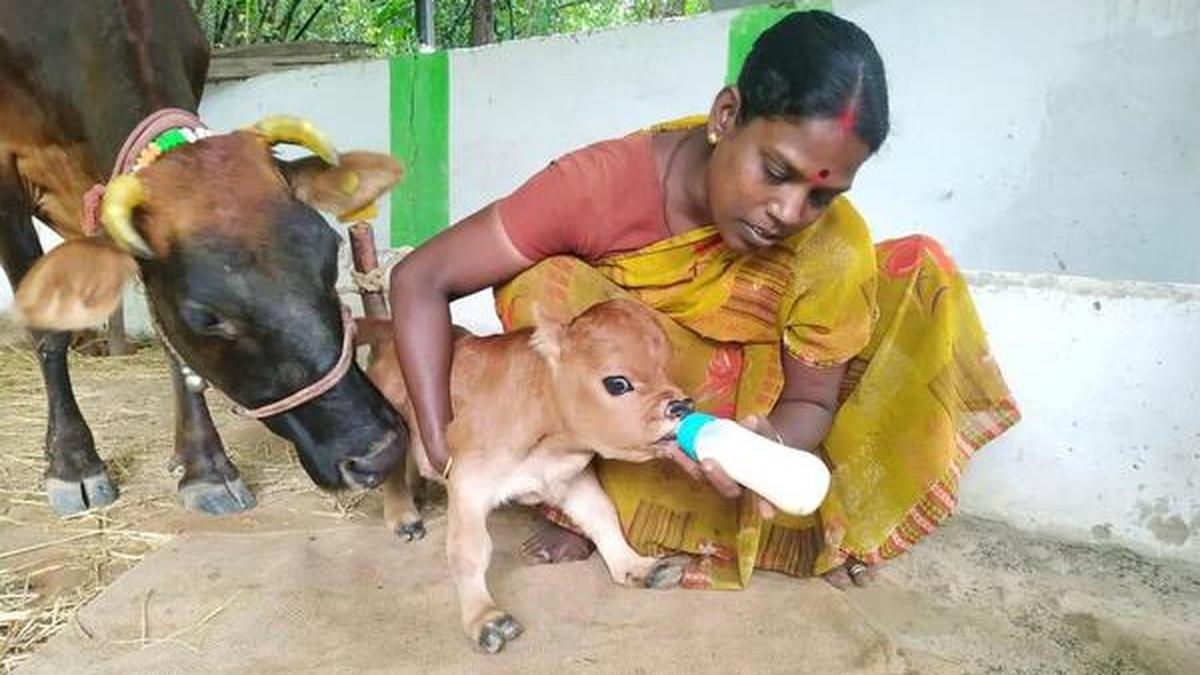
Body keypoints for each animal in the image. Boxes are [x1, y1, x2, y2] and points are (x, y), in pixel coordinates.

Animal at [0, 0, 409, 515]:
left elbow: (170, 342)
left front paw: (204, 465)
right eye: (207, 317)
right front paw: (73, 463)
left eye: (330, 258)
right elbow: (50, 332)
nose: (379, 454)